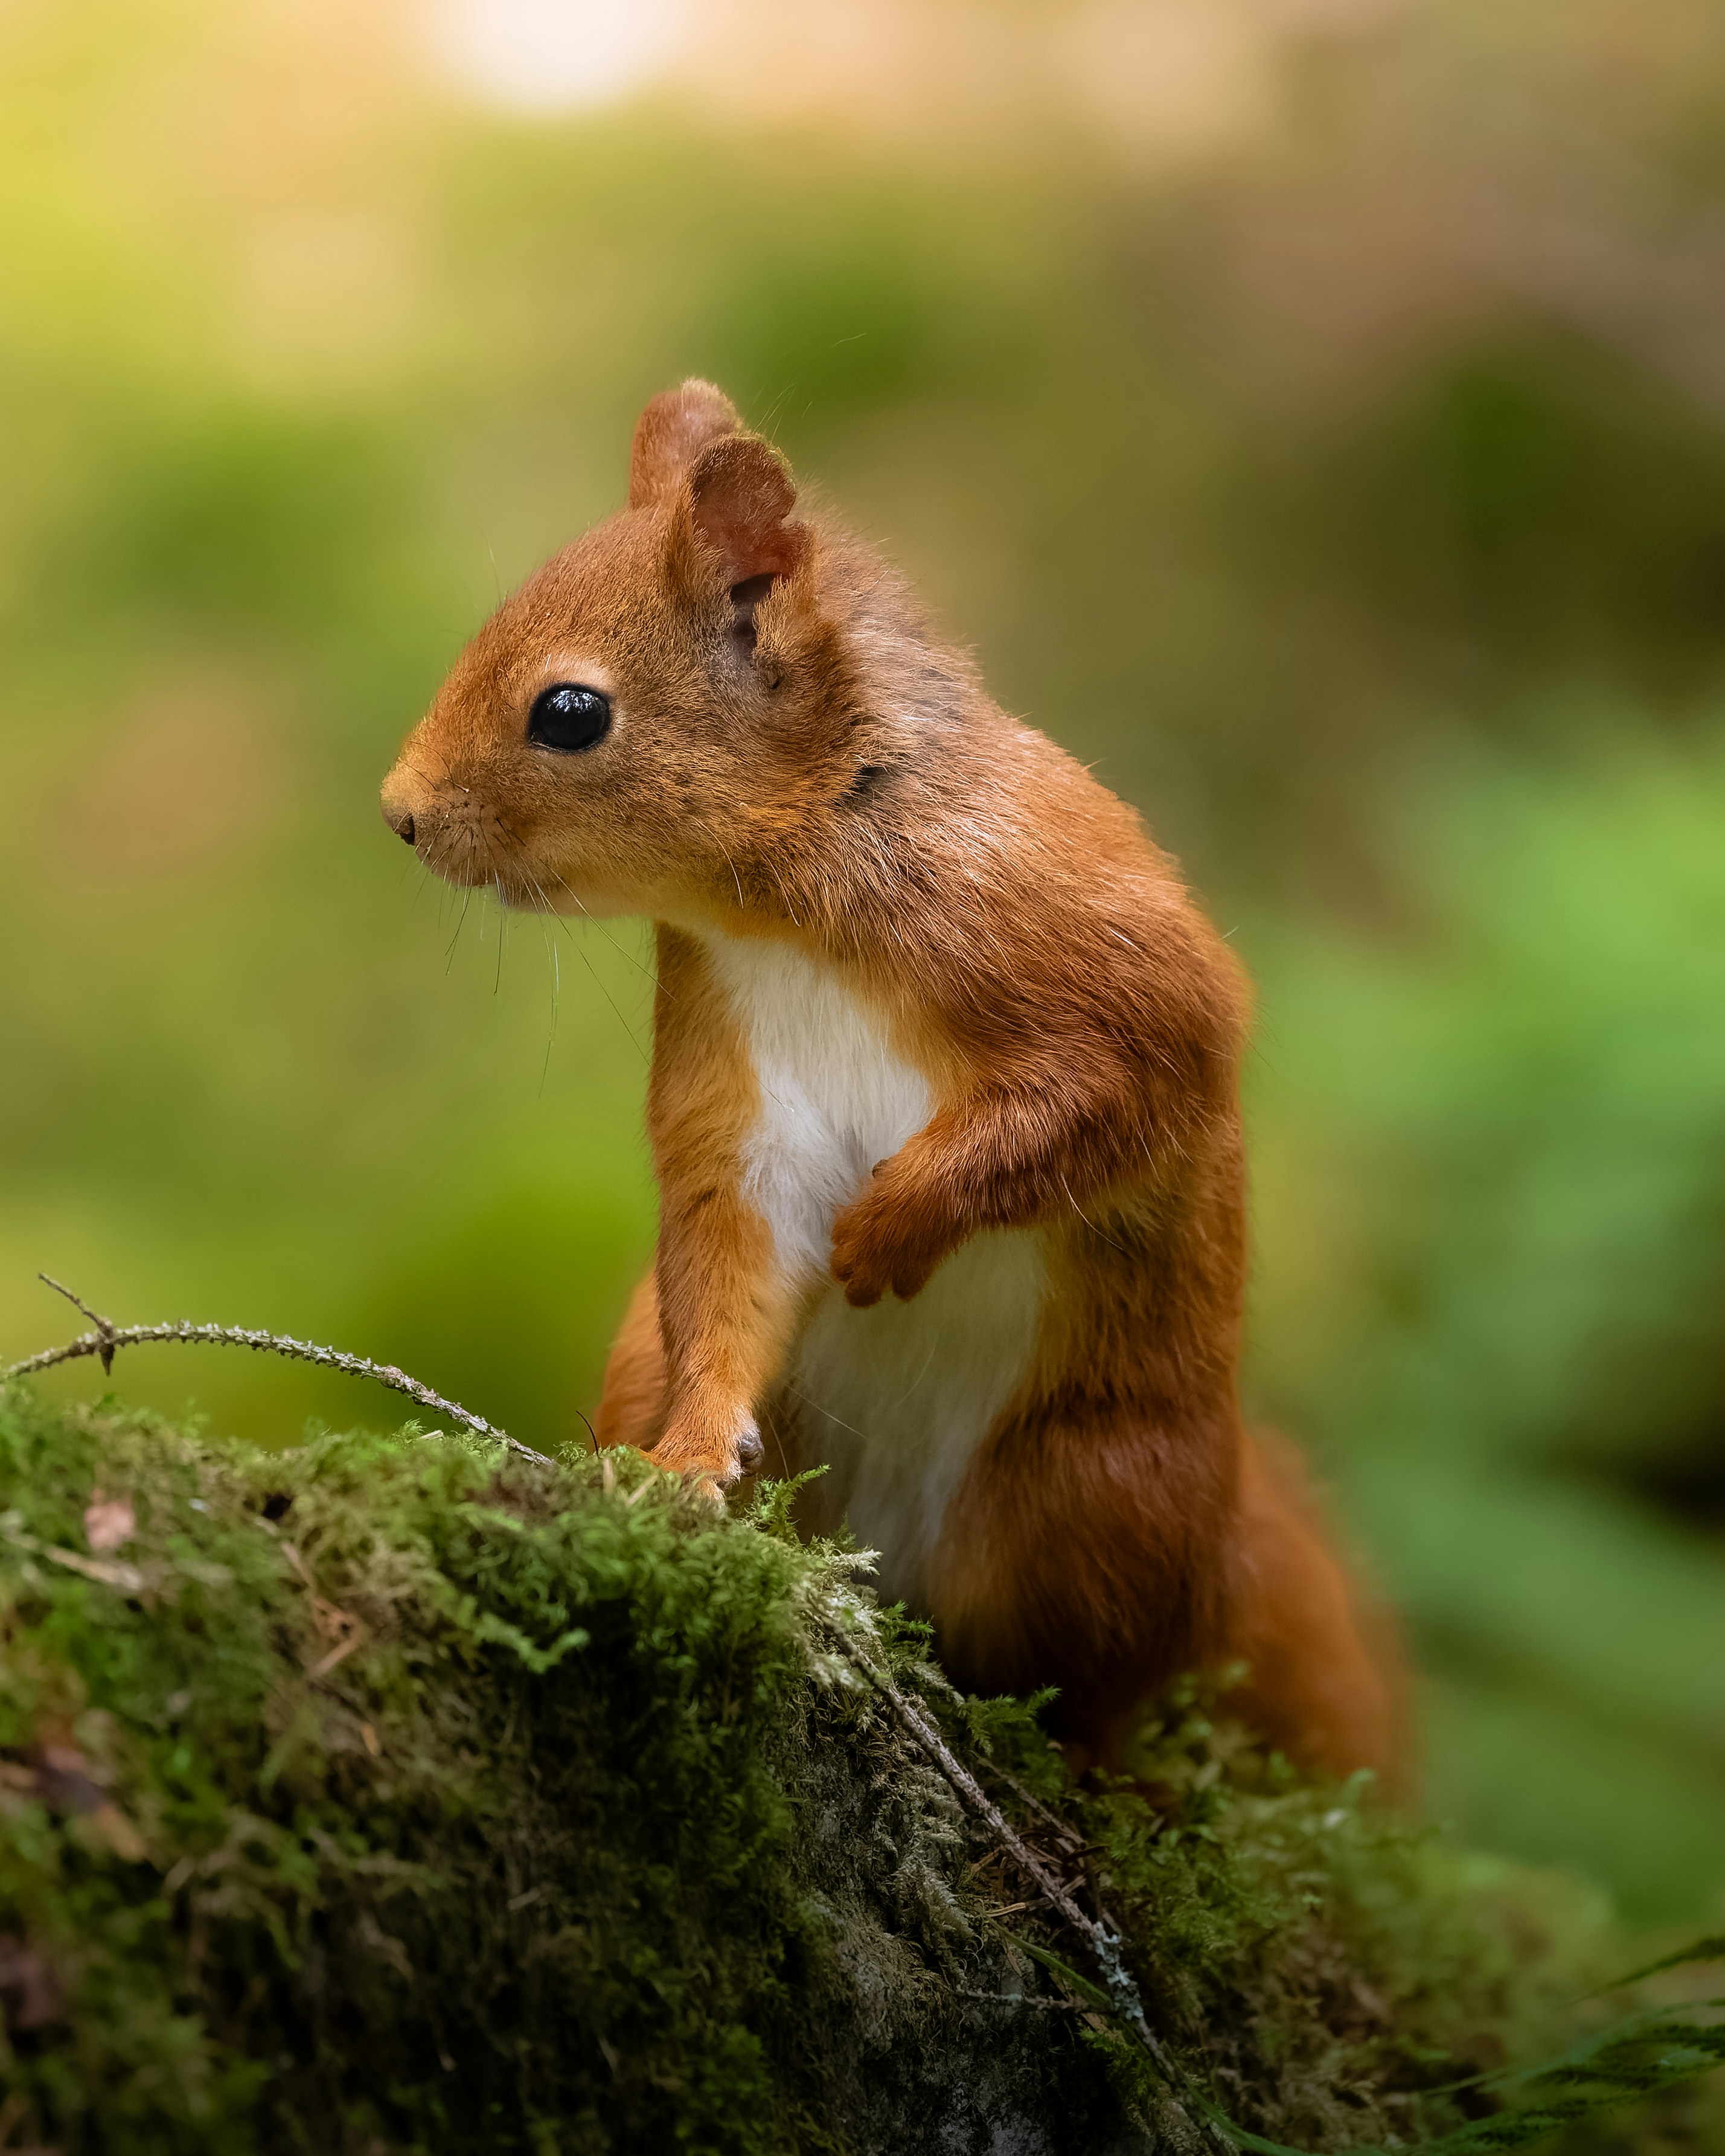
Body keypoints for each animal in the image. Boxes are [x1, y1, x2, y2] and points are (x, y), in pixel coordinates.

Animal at [380, 379, 1397, 1779]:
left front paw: (896, 1225)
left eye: (569, 712)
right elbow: (733, 1258)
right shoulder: (741, 1091)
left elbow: (1102, 1098)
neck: (787, 908)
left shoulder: (1099, 960)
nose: (399, 812)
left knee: (1092, 1683)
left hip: (1096, 1493)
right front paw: (685, 1460)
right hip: (670, 1369)